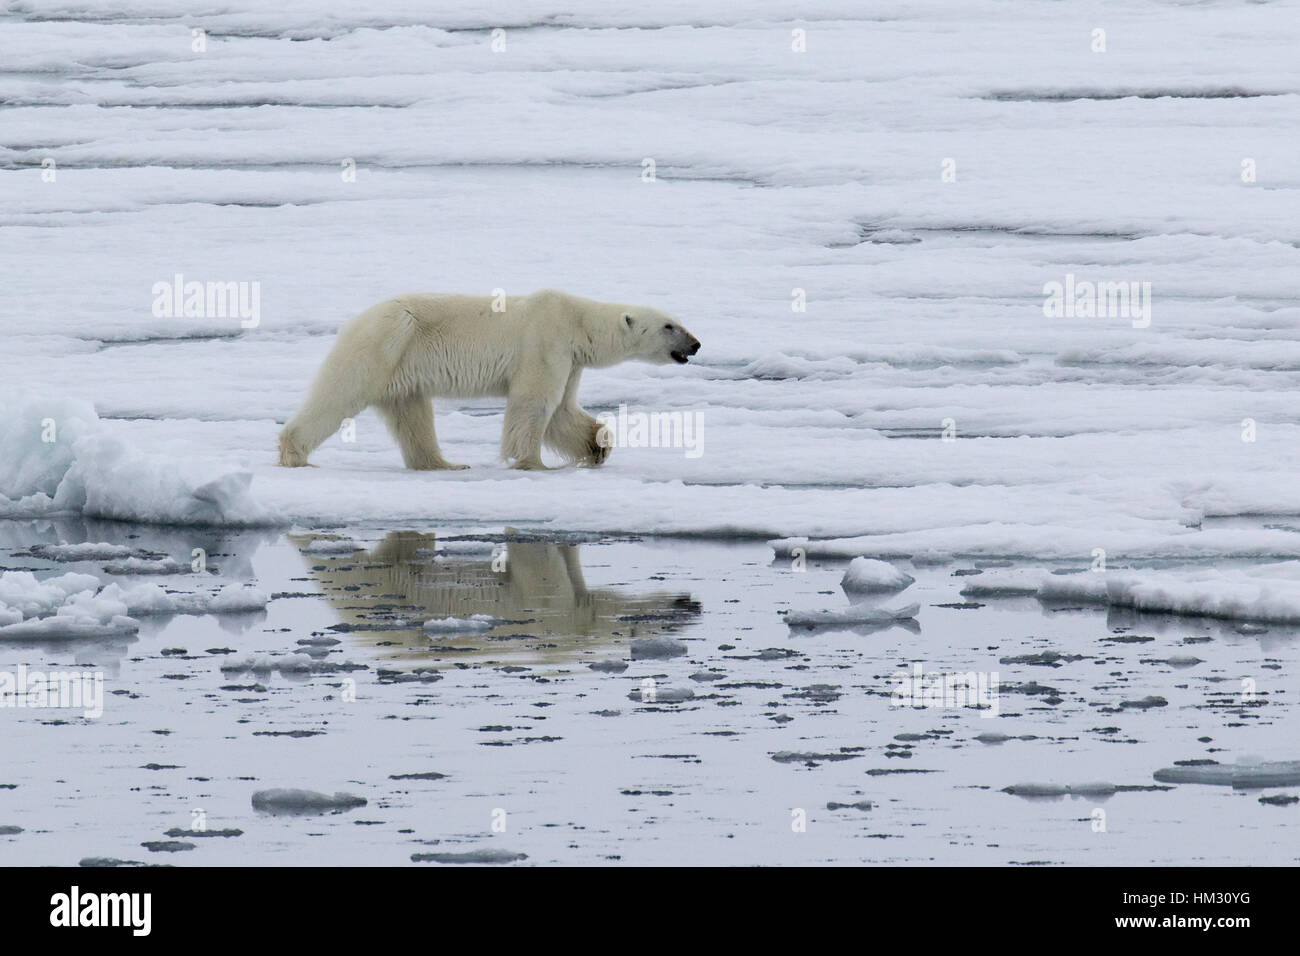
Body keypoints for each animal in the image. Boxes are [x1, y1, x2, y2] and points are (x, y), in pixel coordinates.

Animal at [278, 289, 701, 471]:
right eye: (669, 326)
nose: (696, 344)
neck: (577, 321)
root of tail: (356, 320)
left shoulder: (571, 360)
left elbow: (564, 411)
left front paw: (597, 446)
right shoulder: (545, 341)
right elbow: (535, 404)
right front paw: (533, 463)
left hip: (403, 370)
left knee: (413, 416)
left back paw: (443, 464)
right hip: (383, 345)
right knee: (339, 394)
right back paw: (294, 453)